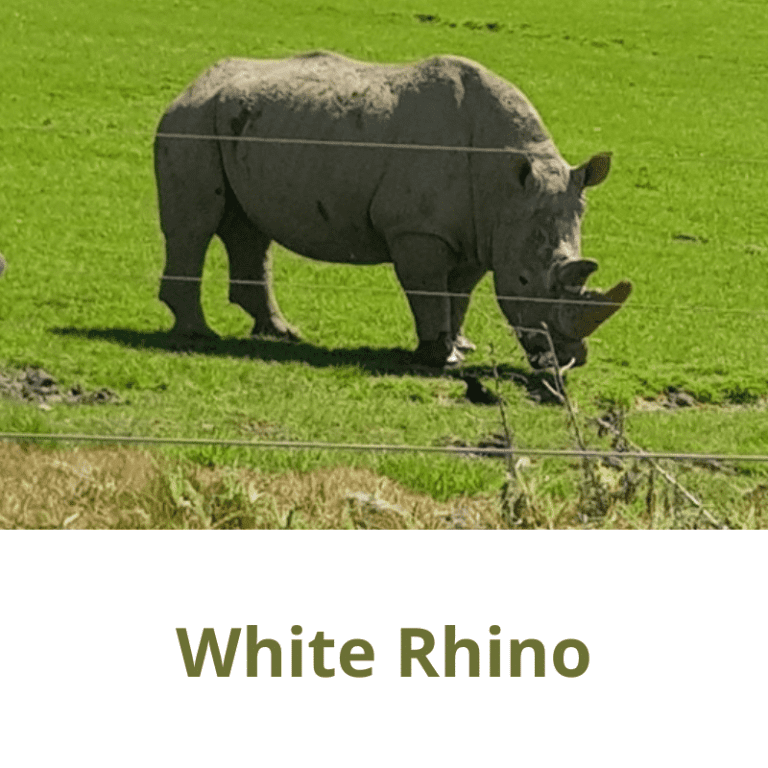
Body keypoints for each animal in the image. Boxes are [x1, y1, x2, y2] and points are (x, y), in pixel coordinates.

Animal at [154, 52, 631, 368]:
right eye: (525, 281)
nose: (566, 360)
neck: (506, 187)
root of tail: (192, 84)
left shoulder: (484, 233)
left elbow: (460, 293)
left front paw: (461, 344)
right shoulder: (418, 230)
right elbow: (429, 290)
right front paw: (442, 356)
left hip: (238, 123)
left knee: (251, 231)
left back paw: (281, 332)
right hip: (191, 121)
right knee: (195, 228)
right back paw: (198, 333)